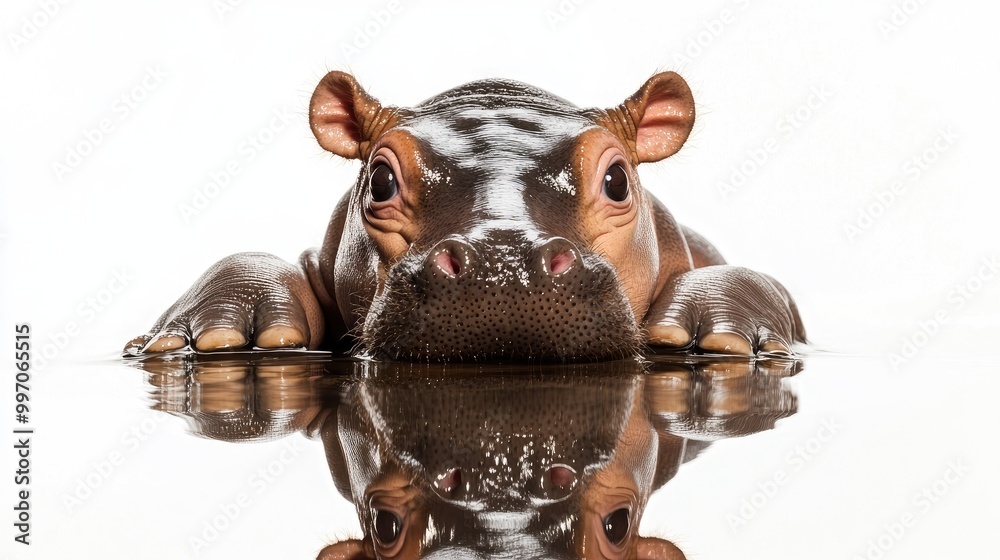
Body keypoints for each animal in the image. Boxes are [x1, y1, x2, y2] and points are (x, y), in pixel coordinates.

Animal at [124, 71, 805, 361]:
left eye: (617, 180)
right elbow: (246, 260)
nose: (505, 264)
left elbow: (751, 277)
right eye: (379, 178)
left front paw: (719, 335)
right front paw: (209, 334)